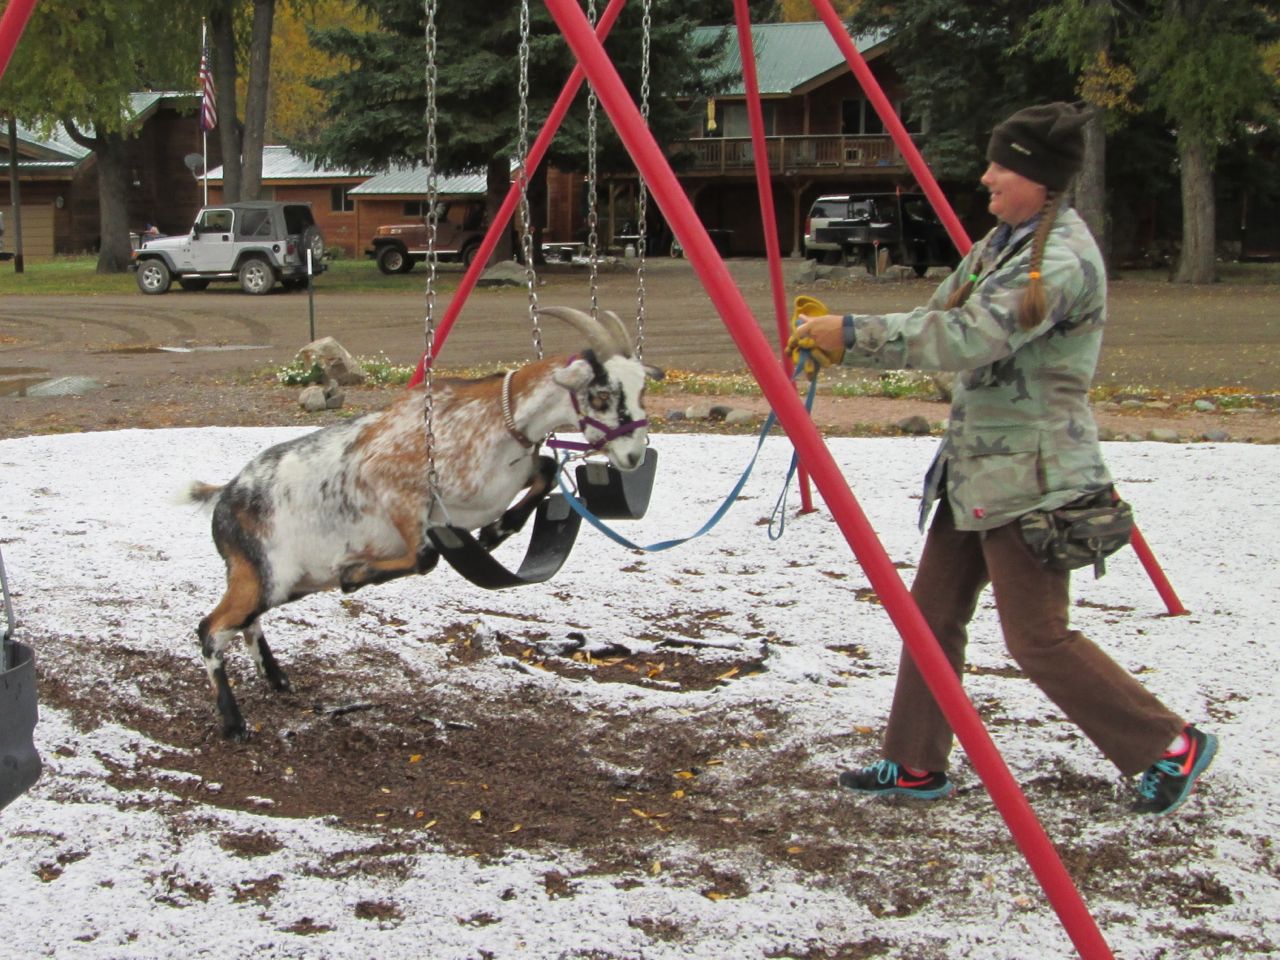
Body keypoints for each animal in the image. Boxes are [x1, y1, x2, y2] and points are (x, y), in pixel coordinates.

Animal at [185, 307, 661, 740]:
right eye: (601, 395)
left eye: (641, 392)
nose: (634, 455)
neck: (492, 419)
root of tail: (225, 499)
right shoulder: (395, 489)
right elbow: (426, 555)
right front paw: (354, 573)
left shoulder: (501, 483)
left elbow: (543, 468)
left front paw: (495, 532)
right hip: (261, 576)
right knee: (210, 629)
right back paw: (234, 724)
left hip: (276, 582)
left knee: (245, 624)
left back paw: (277, 679)